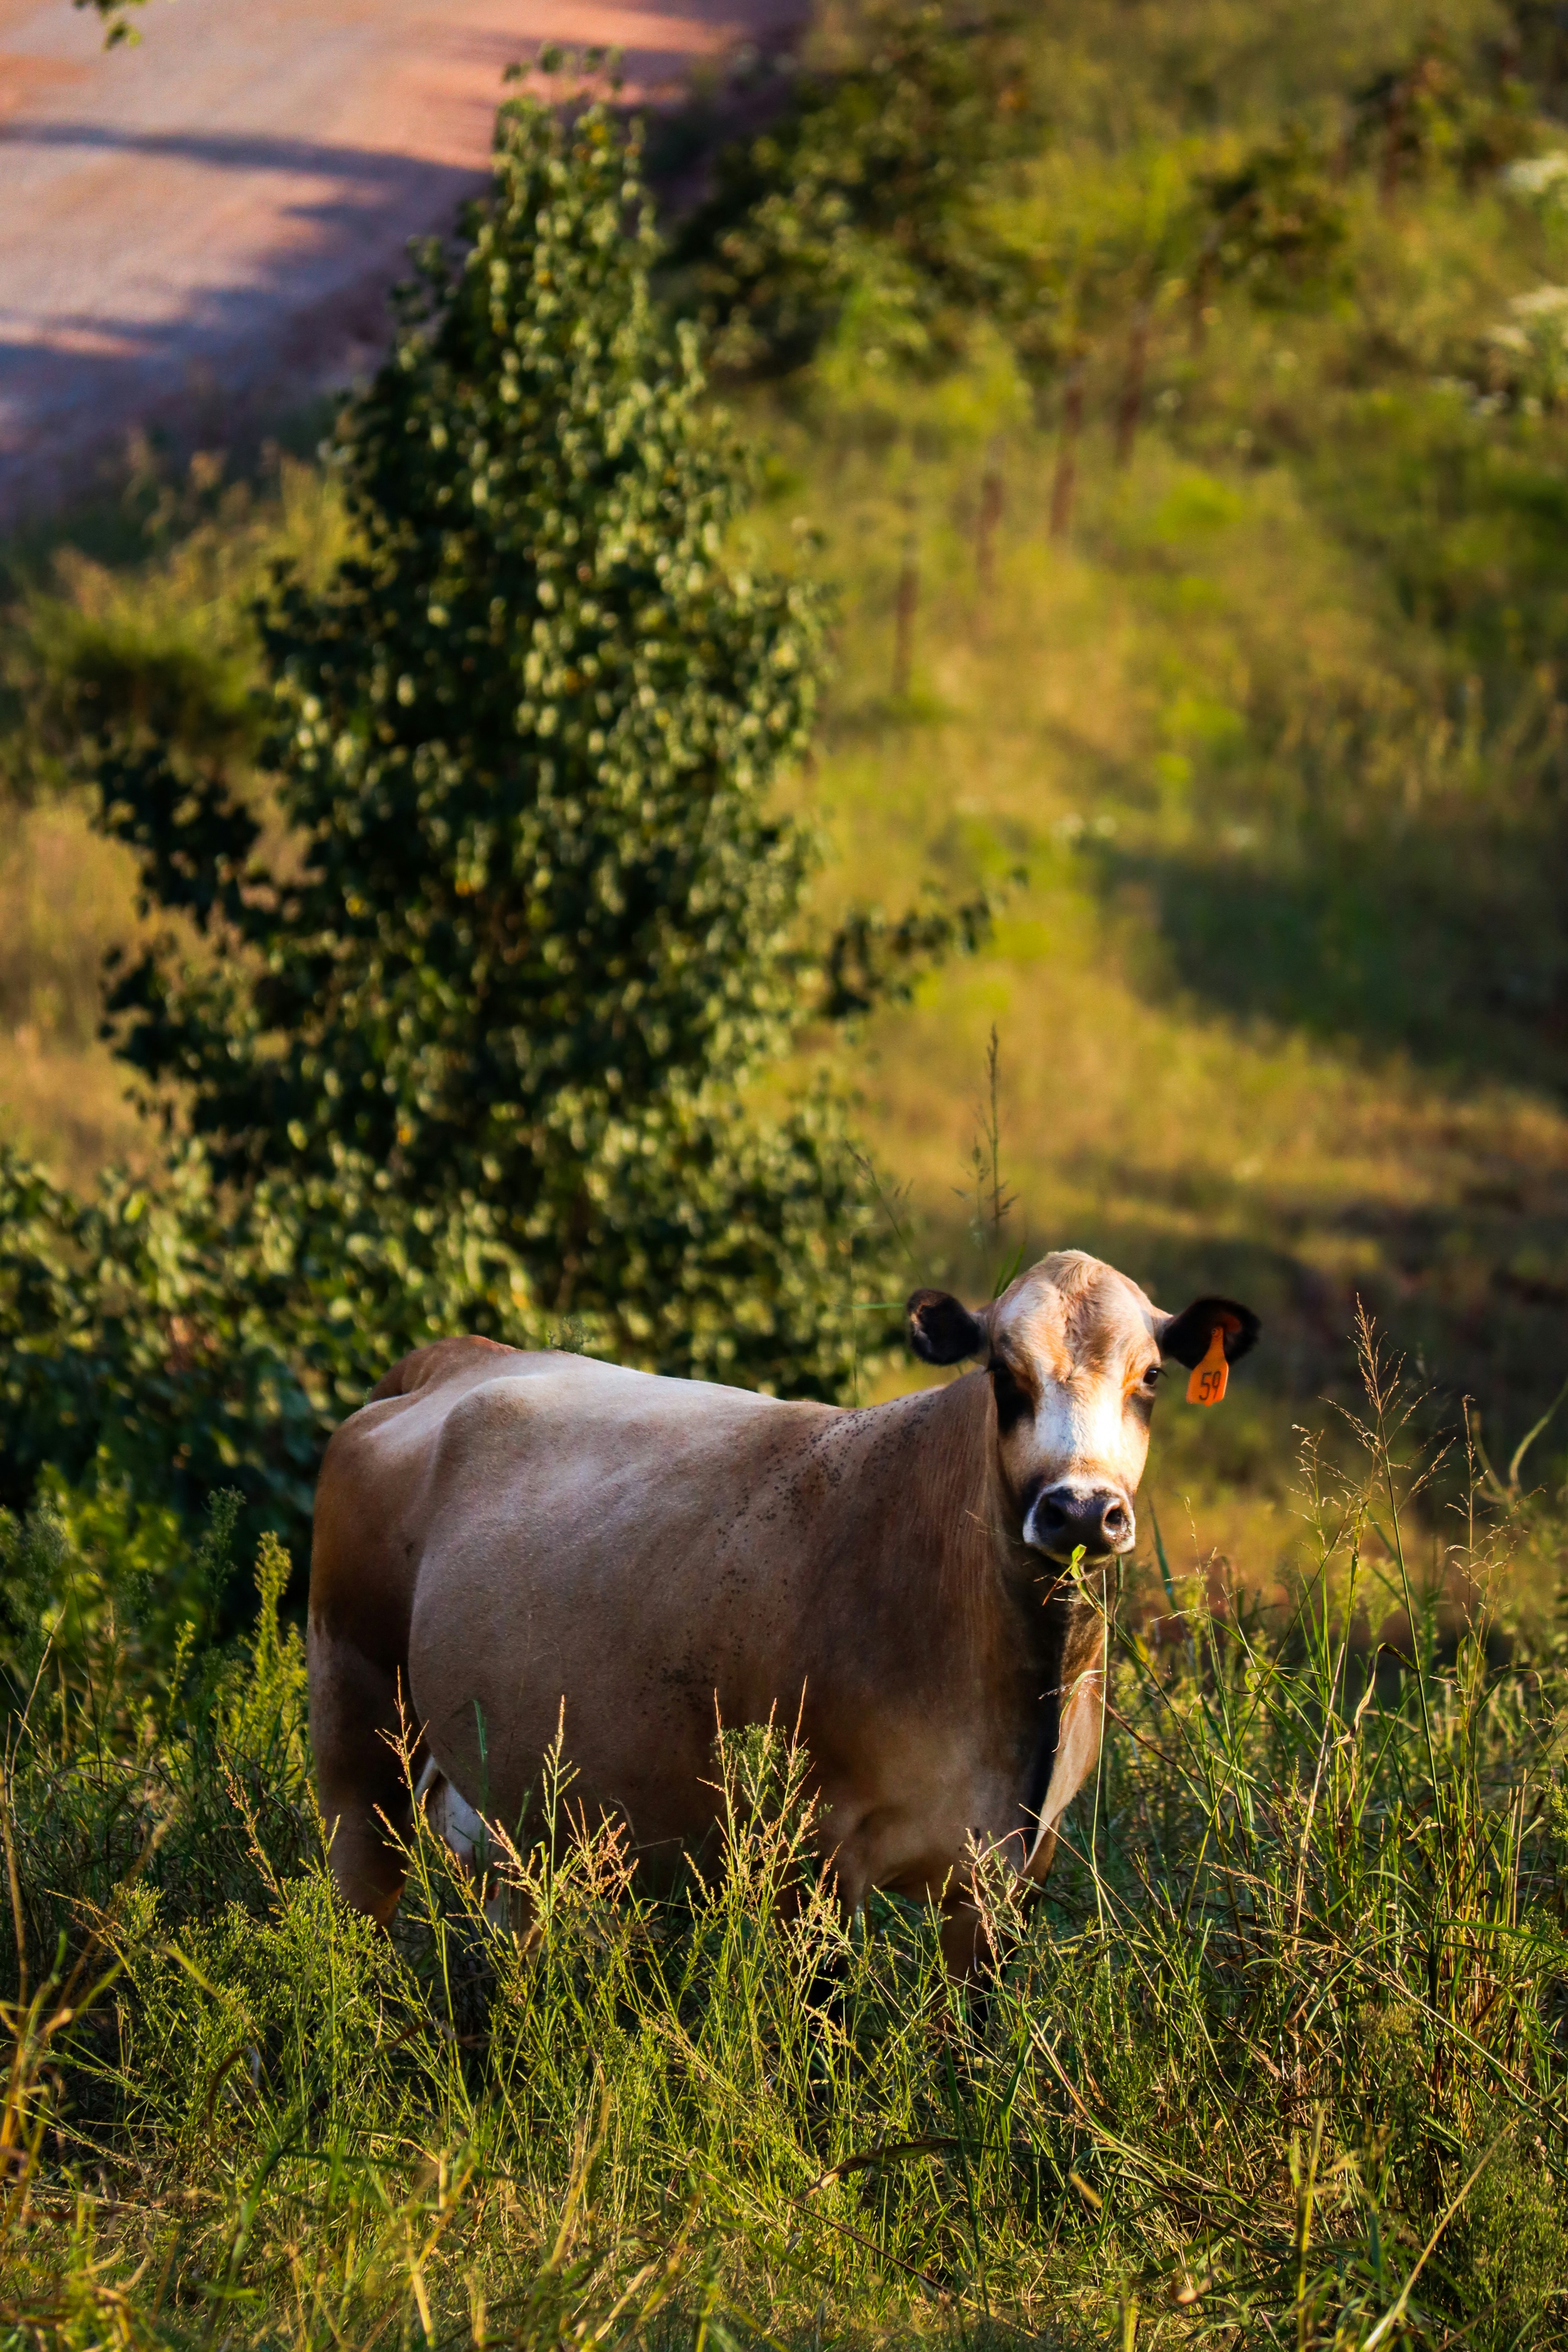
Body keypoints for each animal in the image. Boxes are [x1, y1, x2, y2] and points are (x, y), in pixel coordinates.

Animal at [307, 1250, 1258, 1970]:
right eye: (1002, 1372)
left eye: (1150, 1376)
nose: (1080, 1510)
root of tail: (466, 1358)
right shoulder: (817, 1855)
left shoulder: (1011, 1873)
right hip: (359, 1722)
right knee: (360, 1904)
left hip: (512, 1798)